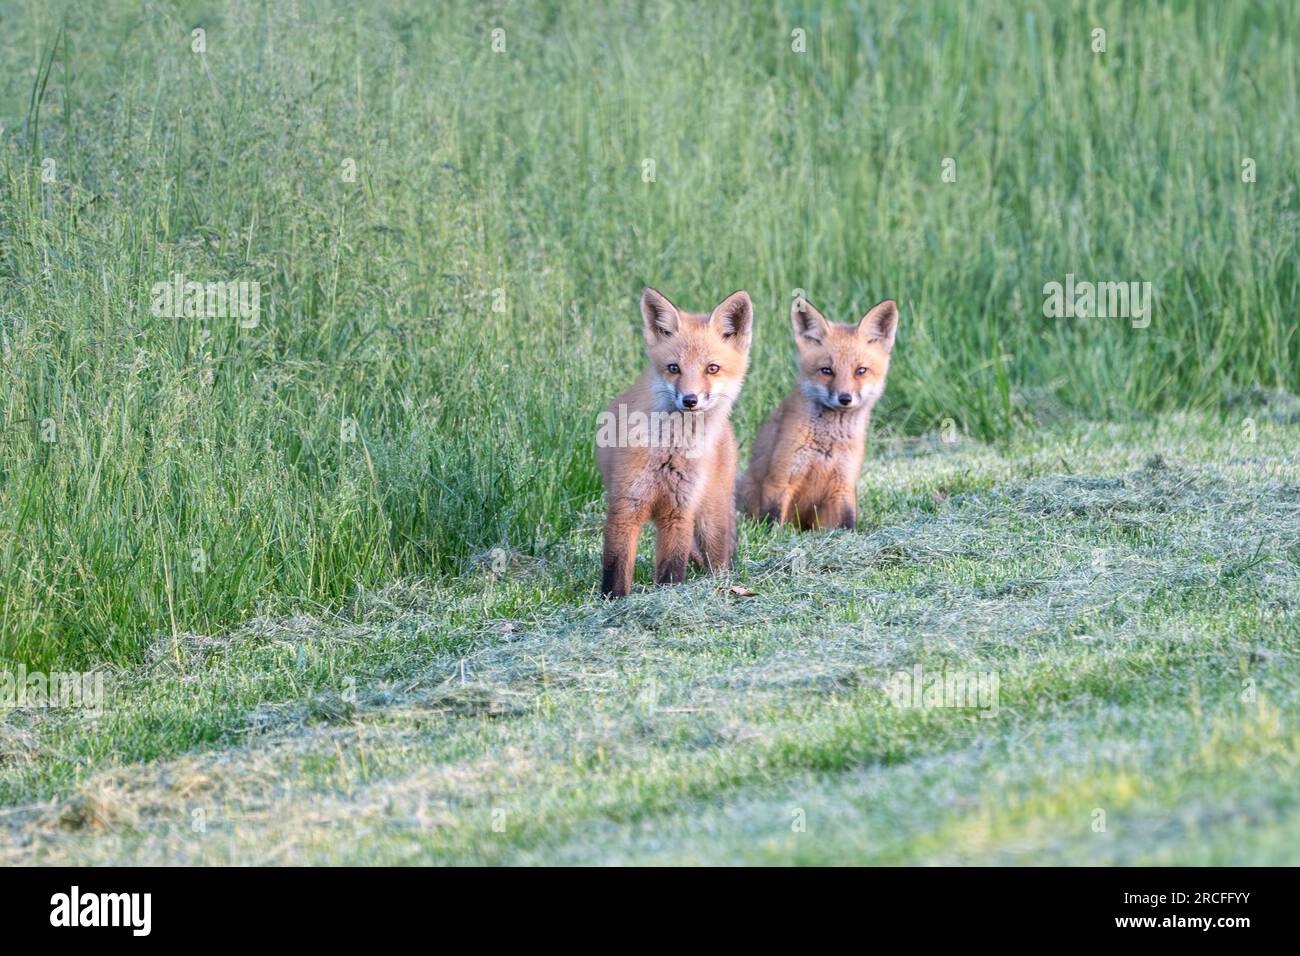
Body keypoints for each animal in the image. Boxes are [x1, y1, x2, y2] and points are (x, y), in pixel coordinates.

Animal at [596, 287, 753, 597]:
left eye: (712, 368)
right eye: (674, 368)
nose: (690, 400)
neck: (669, 451)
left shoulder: (680, 511)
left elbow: (672, 567)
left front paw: (669, 596)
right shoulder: (625, 505)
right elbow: (616, 567)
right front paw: (612, 602)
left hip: (710, 518)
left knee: (718, 561)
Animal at [737, 295, 899, 530]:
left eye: (861, 371)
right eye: (826, 371)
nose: (845, 398)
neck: (827, 445)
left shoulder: (843, 485)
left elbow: (848, 523)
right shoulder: (780, 479)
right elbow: (772, 521)